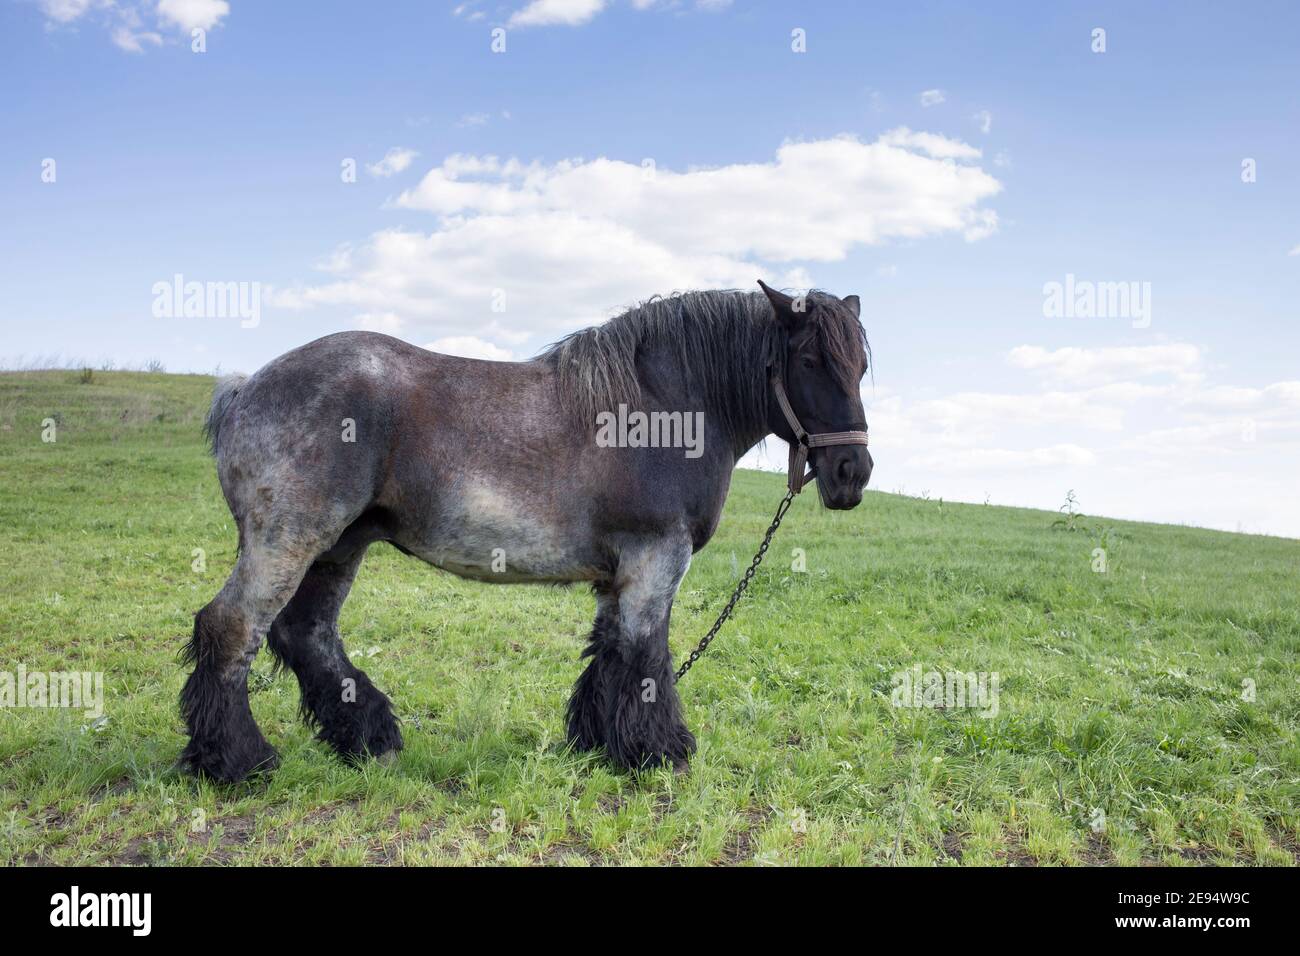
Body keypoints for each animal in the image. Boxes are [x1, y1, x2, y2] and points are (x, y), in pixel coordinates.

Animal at [179, 280, 873, 782]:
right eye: (810, 358)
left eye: (861, 367)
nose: (853, 472)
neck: (666, 407)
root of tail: (244, 389)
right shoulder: (657, 559)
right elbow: (647, 657)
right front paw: (661, 753)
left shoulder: (620, 572)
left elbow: (609, 653)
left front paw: (597, 744)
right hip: (288, 542)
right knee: (231, 628)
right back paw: (236, 761)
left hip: (338, 547)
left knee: (307, 633)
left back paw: (369, 739)